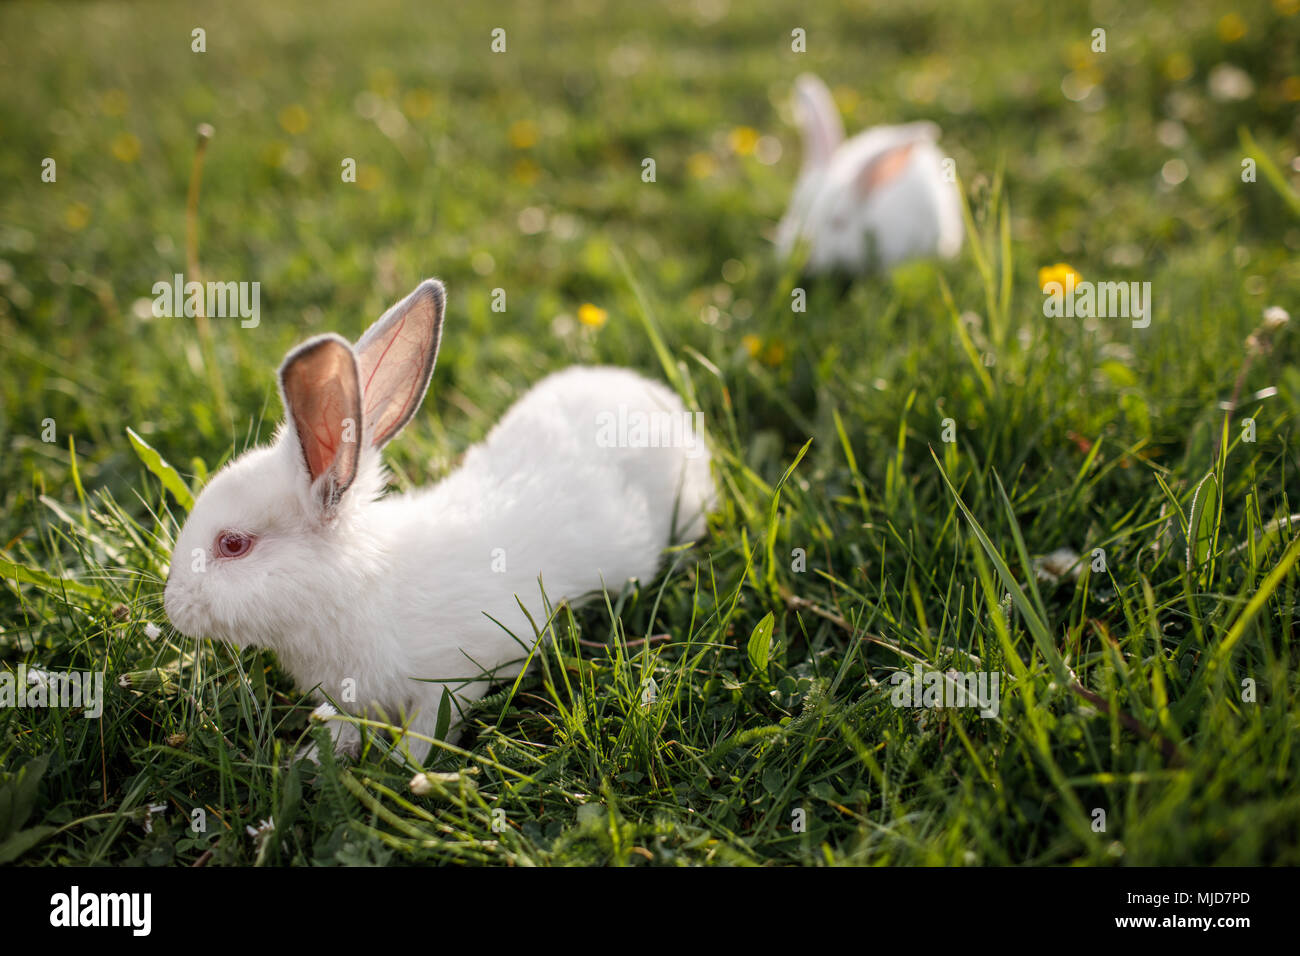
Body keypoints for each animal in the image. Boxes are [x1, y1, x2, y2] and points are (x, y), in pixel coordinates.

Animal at [163, 278, 714, 763]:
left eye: (233, 544)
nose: (172, 607)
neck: (355, 586)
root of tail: (656, 397)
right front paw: (318, 757)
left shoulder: (456, 676)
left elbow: (432, 723)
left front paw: (407, 765)